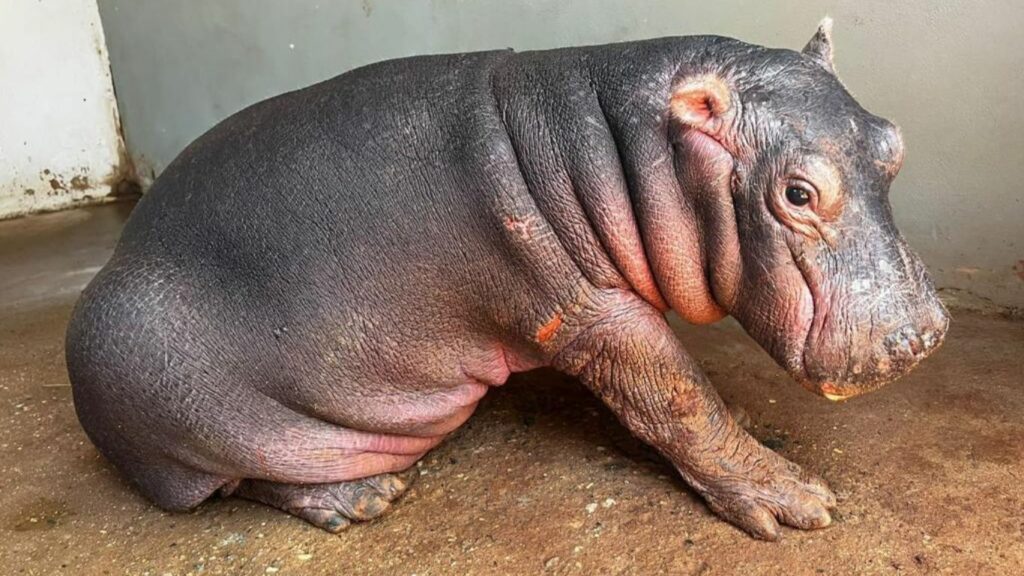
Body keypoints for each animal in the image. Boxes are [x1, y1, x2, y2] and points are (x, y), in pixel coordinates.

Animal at [66, 19, 948, 540]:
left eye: (894, 141)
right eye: (797, 193)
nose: (924, 333)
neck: (617, 144)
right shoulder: (585, 311)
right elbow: (679, 400)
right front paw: (800, 502)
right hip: (158, 390)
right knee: (234, 483)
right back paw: (364, 500)